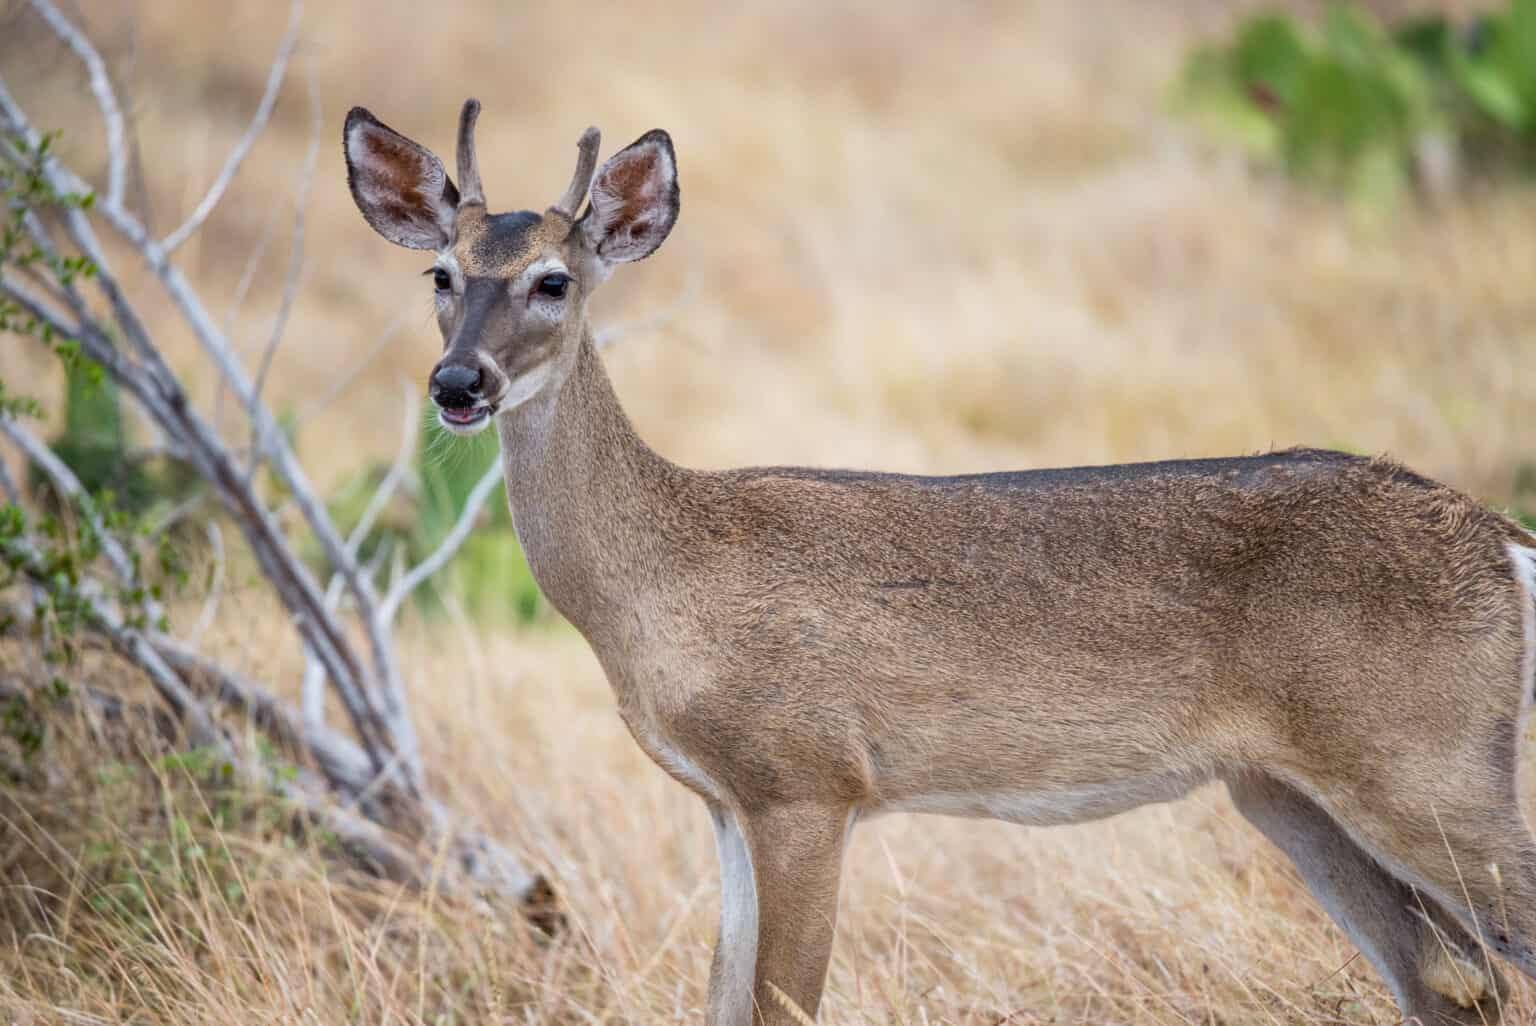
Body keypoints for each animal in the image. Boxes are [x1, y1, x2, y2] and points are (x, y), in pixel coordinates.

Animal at [343, 98, 1536, 1026]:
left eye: (553, 280)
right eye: (439, 273)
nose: (459, 384)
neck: (662, 583)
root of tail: (1504, 541)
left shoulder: (810, 776)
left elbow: (782, 1004)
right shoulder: (726, 800)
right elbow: (721, 999)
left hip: (1424, 761)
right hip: (1290, 792)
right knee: (1447, 980)